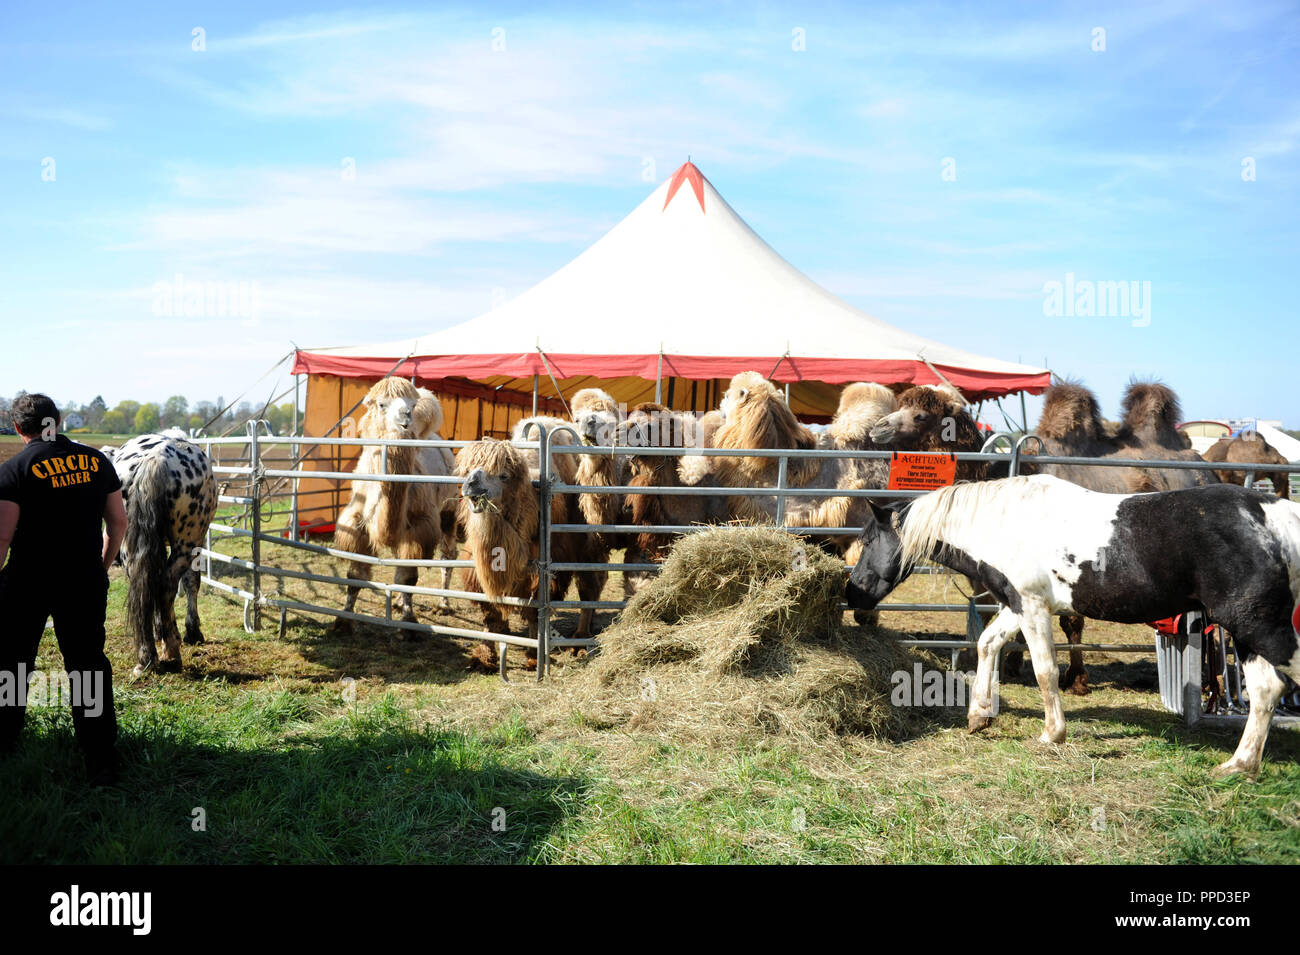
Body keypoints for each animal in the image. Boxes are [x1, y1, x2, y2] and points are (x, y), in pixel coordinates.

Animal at [334, 379, 458, 631]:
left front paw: (409, 624)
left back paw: (443, 603)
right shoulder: (357, 524)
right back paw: (401, 602)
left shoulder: (420, 526)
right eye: (382, 404)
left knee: (448, 555)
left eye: (412, 404)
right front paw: (344, 619)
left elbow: (408, 578)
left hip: (449, 509)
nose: (406, 418)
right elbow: (355, 576)